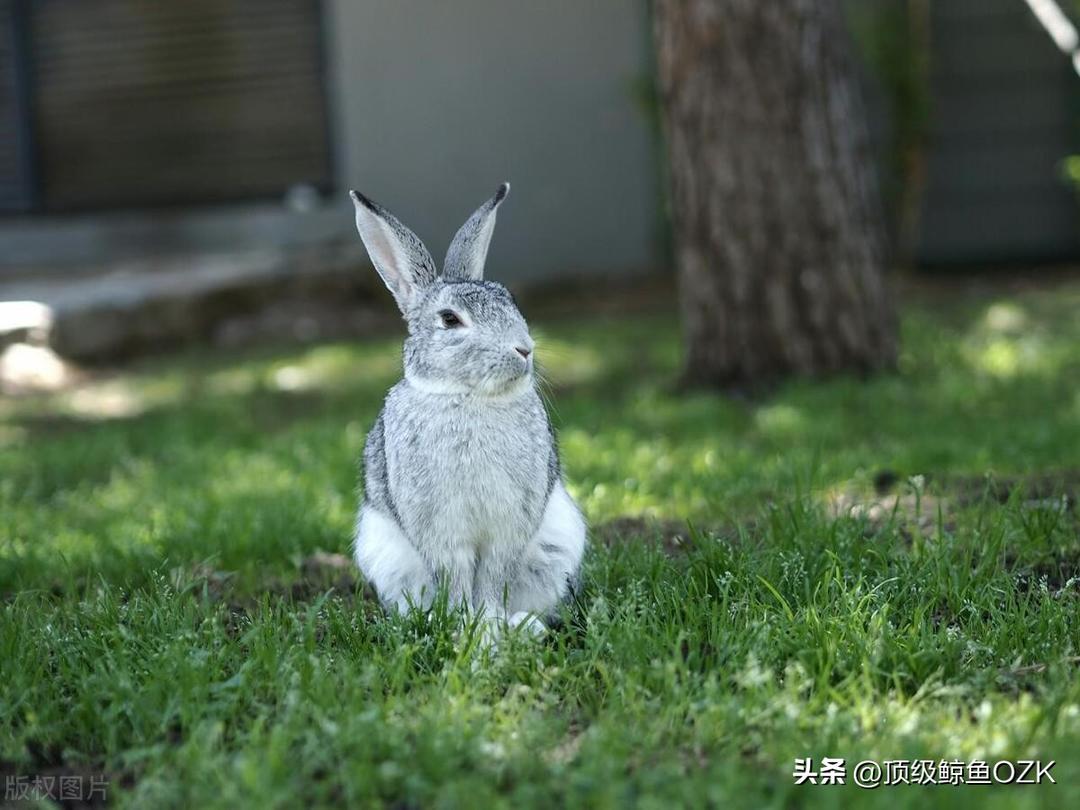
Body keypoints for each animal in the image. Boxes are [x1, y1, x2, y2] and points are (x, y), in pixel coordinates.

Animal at [349, 183, 586, 633]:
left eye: (510, 301)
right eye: (449, 319)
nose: (525, 349)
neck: (469, 396)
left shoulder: (507, 529)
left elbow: (493, 576)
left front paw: (490, 626)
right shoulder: (442, 532)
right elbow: (455, 576)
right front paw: (466, 628)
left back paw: (524, 626)